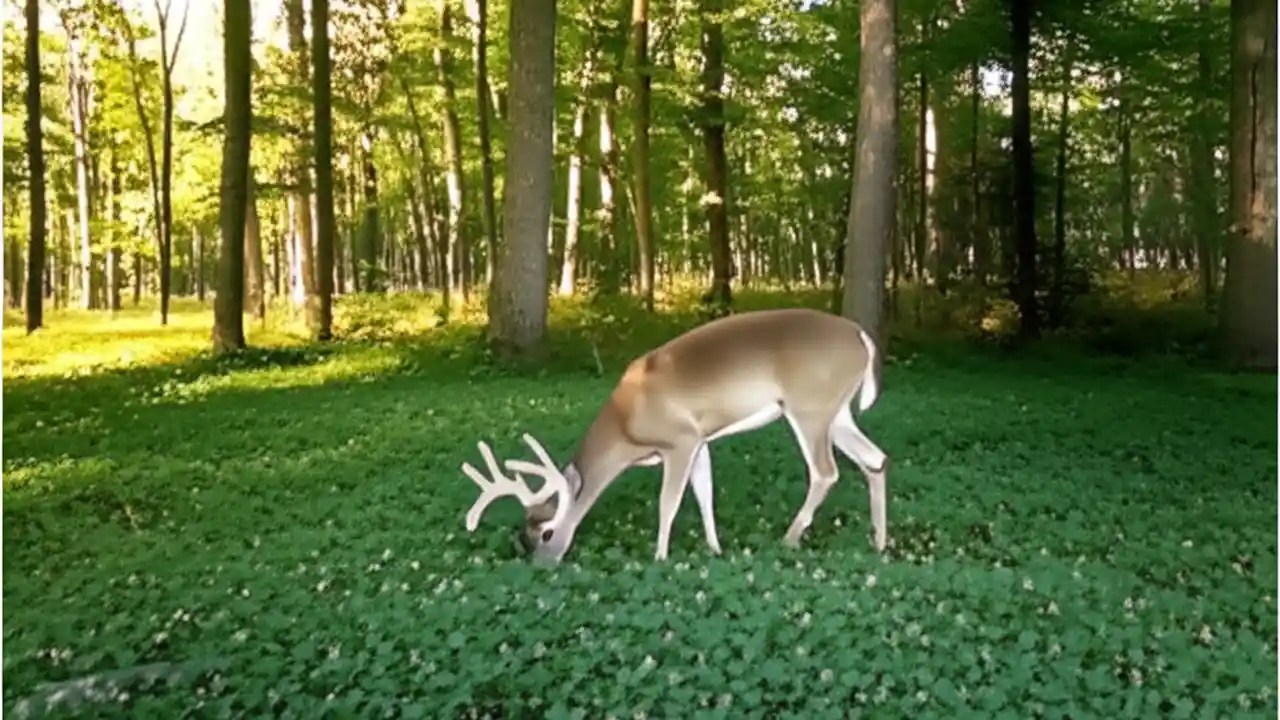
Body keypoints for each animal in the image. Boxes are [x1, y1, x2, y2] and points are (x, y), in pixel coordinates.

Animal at [460, 307, 891, 563]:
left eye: (547, 532)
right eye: (526, 536)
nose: (541, 565)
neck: (627, 424)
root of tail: (861, 336)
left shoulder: (680, 440)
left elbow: (668, 503)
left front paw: (660, 557)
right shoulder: (700, 441)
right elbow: (705, 494)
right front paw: (715, 548)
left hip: (810, 406)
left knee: (825, 471)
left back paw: (790, 538)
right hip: (837, 411)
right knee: (876, 459)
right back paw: (879, 542)